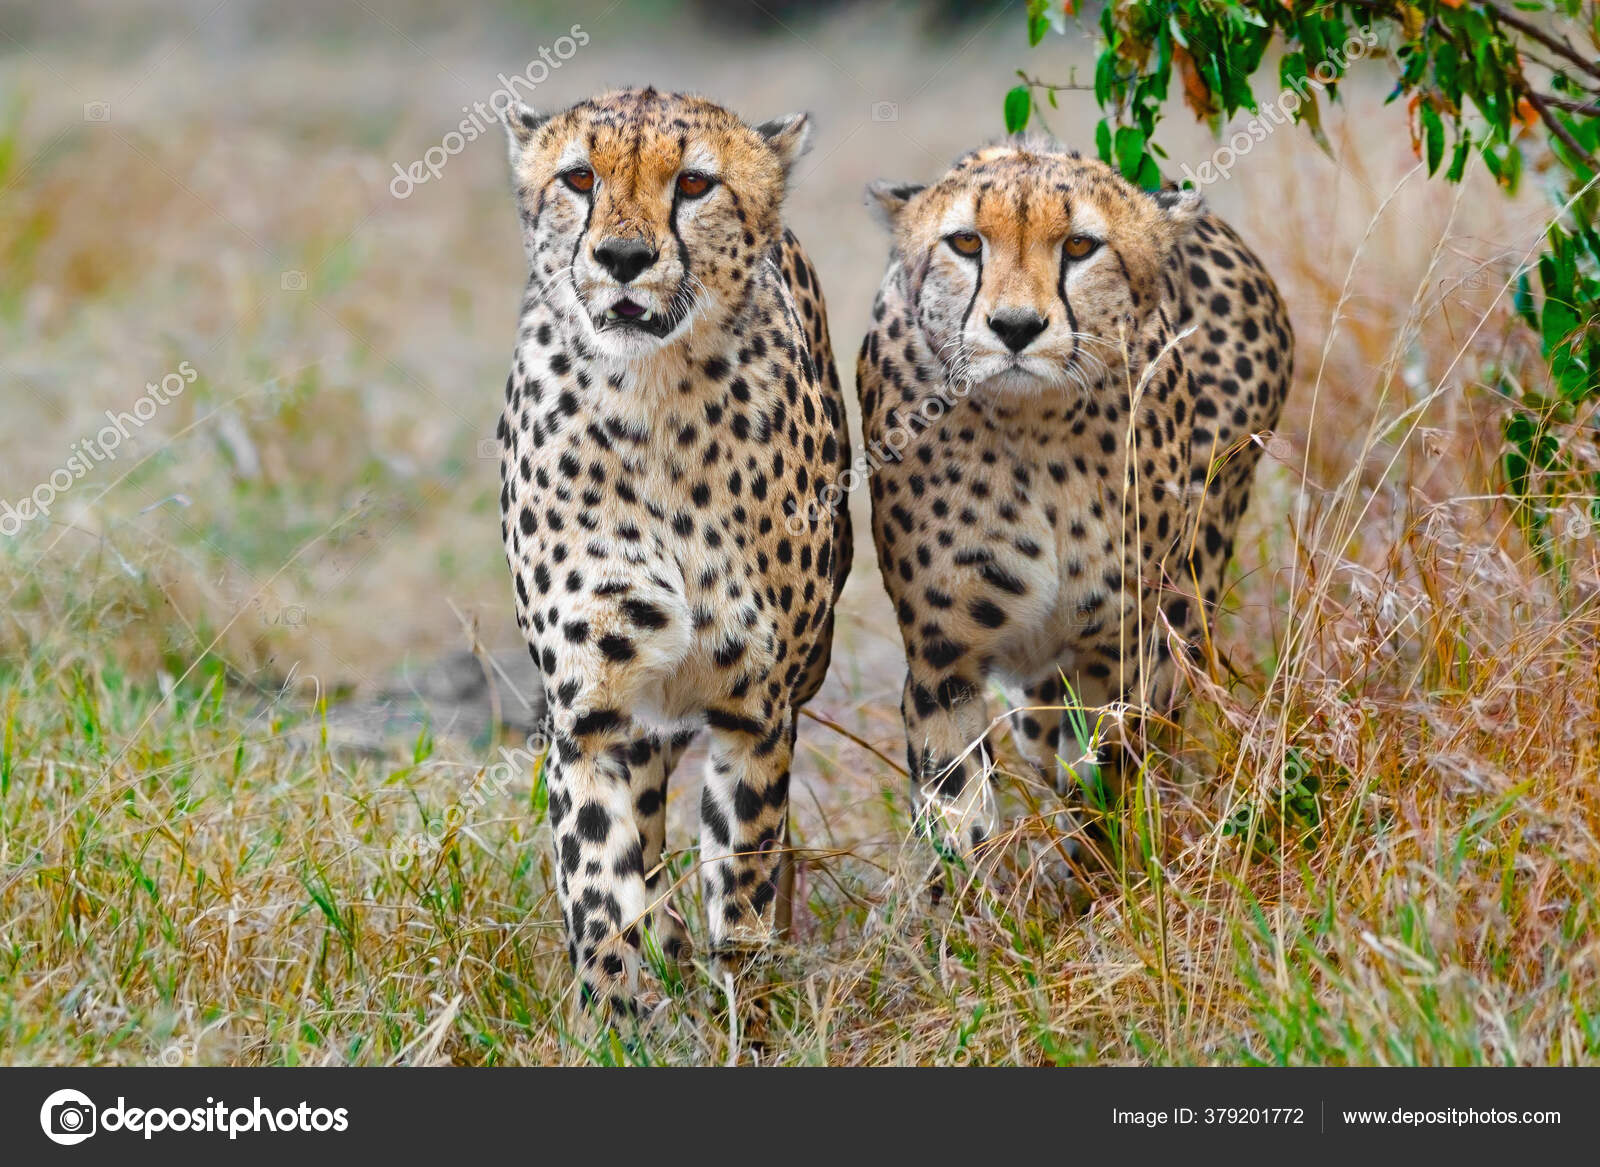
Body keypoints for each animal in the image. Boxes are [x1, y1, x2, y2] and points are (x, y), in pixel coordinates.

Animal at [496, 87, 851, 1013]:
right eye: (578, 178)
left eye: (694, 183)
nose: (623, 258)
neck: (653, 394)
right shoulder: (589, 713)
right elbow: (600, 888)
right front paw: (617, 1015)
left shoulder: (755, 711)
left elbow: (745, 888)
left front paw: (745, 1014)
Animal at [855, 137, 1292, 869]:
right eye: (966, 242)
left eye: (1081, 246)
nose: (1015, 327)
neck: (1036, 430)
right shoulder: (945, 659)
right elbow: (957, 808)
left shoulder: (1117, 645)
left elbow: (1105, 766)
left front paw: (1112, 870)